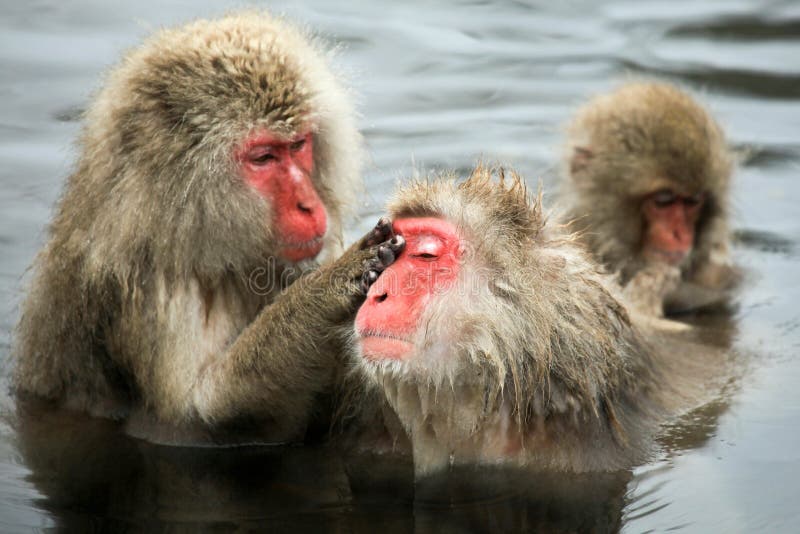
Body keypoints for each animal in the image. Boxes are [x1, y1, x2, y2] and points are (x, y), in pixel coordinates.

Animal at [11, 12, 406, 445]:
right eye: (264, 157)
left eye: (298, 145)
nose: (308, 204)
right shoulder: (153, 287)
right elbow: (190, 422)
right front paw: (325, 291)